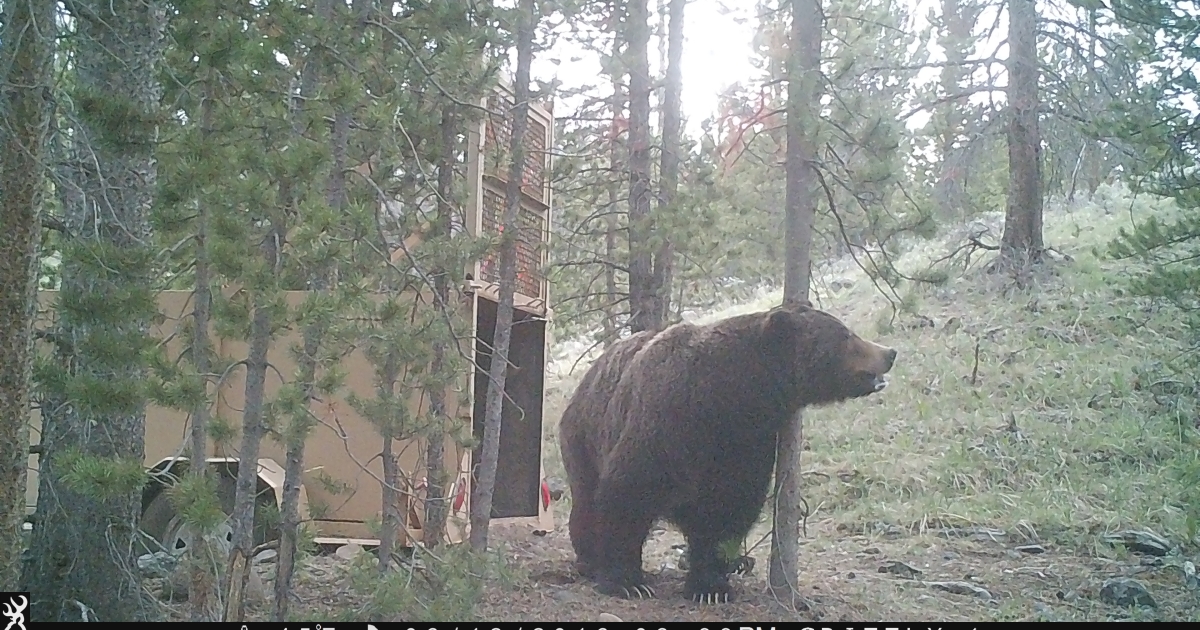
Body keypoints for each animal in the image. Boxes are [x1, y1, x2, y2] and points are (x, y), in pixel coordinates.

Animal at [557, 301, 897, 603]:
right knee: (586, 498)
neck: (727, 397)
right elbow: (627, 495)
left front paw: (711, 586)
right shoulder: (663, 427)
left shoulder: (746, 444)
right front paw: (627, 582)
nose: (889, 353)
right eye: (846, 335)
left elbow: (725, 510)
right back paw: (589, 559)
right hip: (584, 435)